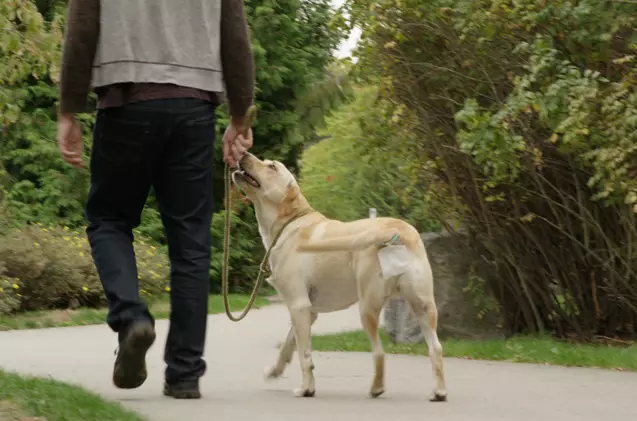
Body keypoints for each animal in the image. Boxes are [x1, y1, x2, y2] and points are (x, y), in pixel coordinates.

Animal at [231, 153, 444, 400]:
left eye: (272, 167)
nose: (243, 154)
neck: (289, 222)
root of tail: (396, 231)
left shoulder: (299, 306)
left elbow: (304, 355)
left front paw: (307, 388)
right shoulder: (307, 311)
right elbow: (287, 346)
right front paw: (274, 371)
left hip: (367, 306)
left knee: (379, 352)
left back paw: (376, 388)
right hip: (423, 306)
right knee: (436, 348)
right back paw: (439, 392)